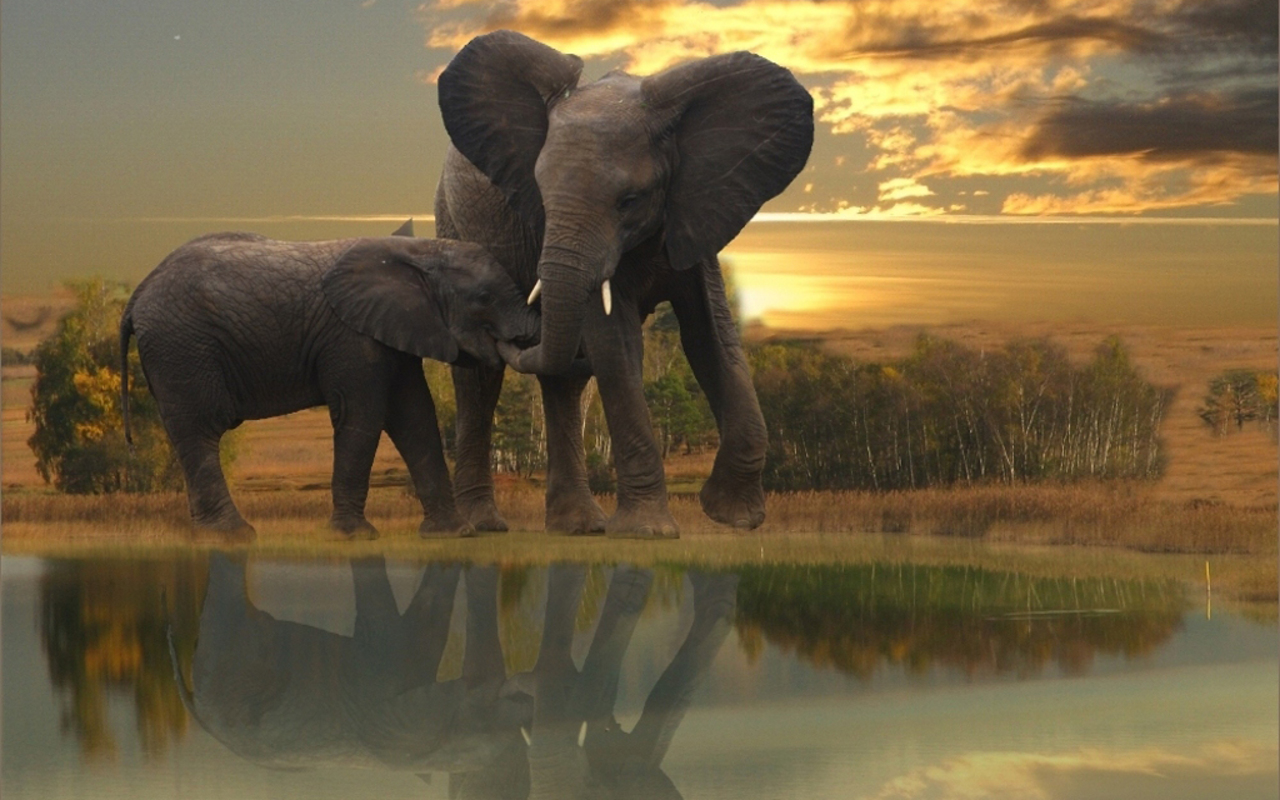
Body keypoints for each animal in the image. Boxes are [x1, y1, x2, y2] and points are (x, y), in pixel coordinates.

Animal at [119, 231, 539, 538]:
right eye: (483, 298)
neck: (418, 251)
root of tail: (137, 294)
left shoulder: (394, 333)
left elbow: (416, 417)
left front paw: (454, 534)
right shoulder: (351, 337)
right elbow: (364, 416)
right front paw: (355, 536)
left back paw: (204, 536)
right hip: (183, 348)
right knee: (202, 430)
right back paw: (233, 535)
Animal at [433, 30, 814, 537]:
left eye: (629, 200)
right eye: (539, 195)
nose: (516, 332)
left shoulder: (693, 210)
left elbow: (713, 337)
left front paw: (732, 516)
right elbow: (616, 346)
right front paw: (647, 531)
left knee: (563, 379)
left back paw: (578, 527)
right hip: (453, 223)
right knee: (480, 377)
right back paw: (485, 527)